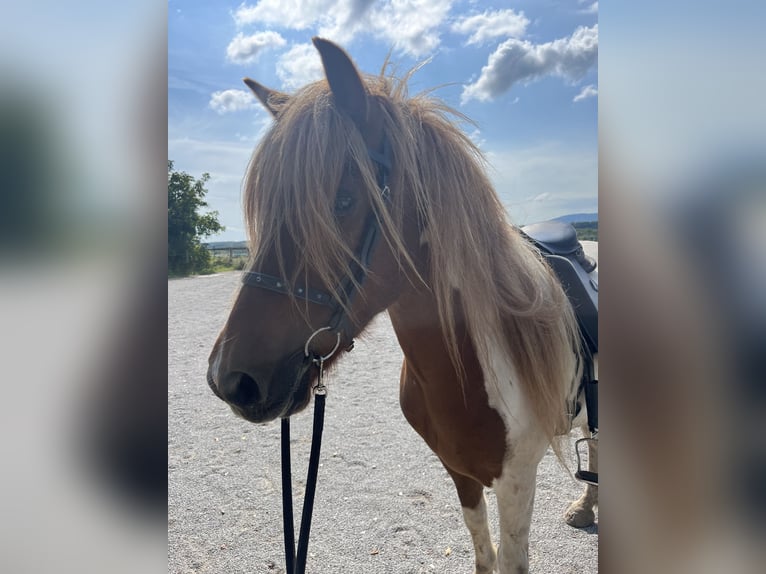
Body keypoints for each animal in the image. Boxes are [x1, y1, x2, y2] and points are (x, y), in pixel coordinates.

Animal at [207, 37, 597, 574]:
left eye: (343, 202)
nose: (230, 380)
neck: (466, 365)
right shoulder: (460, 473)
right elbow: (483, 553)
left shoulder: (517, 482)